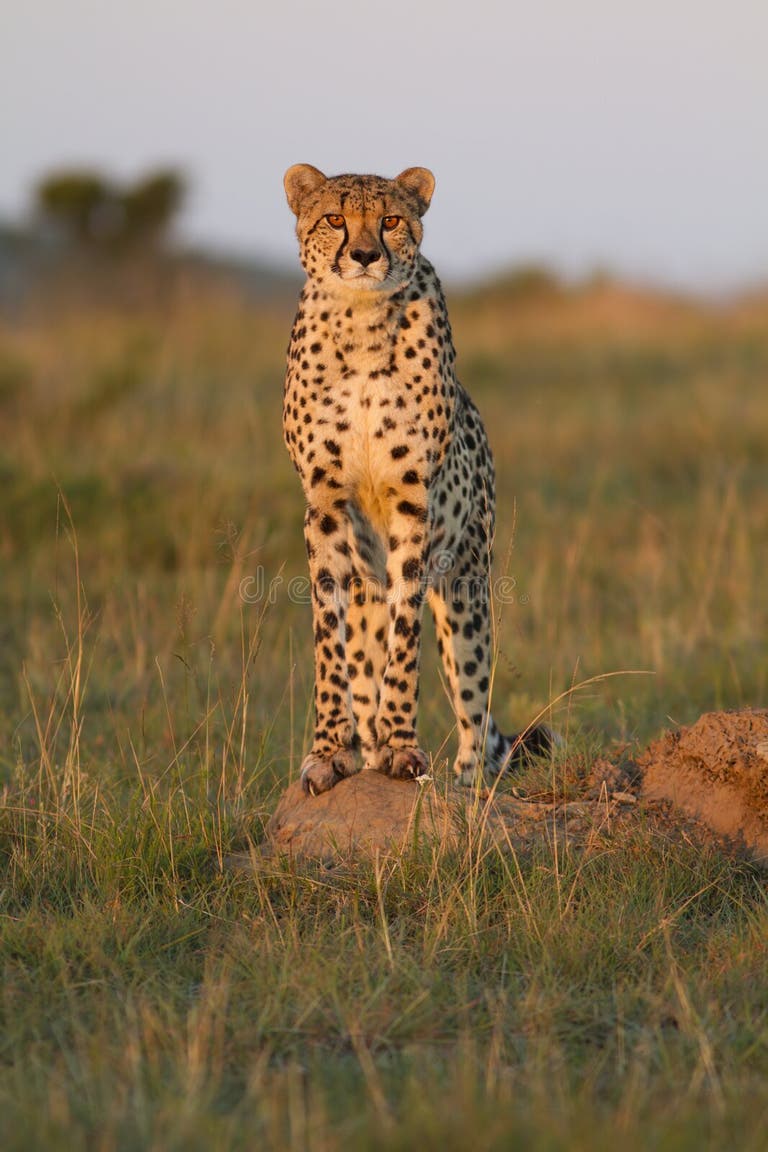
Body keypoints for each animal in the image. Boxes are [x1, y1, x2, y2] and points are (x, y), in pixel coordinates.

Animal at [283, 163, 554, 796]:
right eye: (334, 218)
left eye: (389, 220)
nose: (363, 255)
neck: (361, 323)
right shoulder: (325, 503)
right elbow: (329, 641)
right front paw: (329, 753)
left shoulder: (413, 503)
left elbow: (406, 635)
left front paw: (404, 747)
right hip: (369, 587)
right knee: (364, 659)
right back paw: (367, 748)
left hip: (467, 585)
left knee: (472, 700)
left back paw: (465, 781)